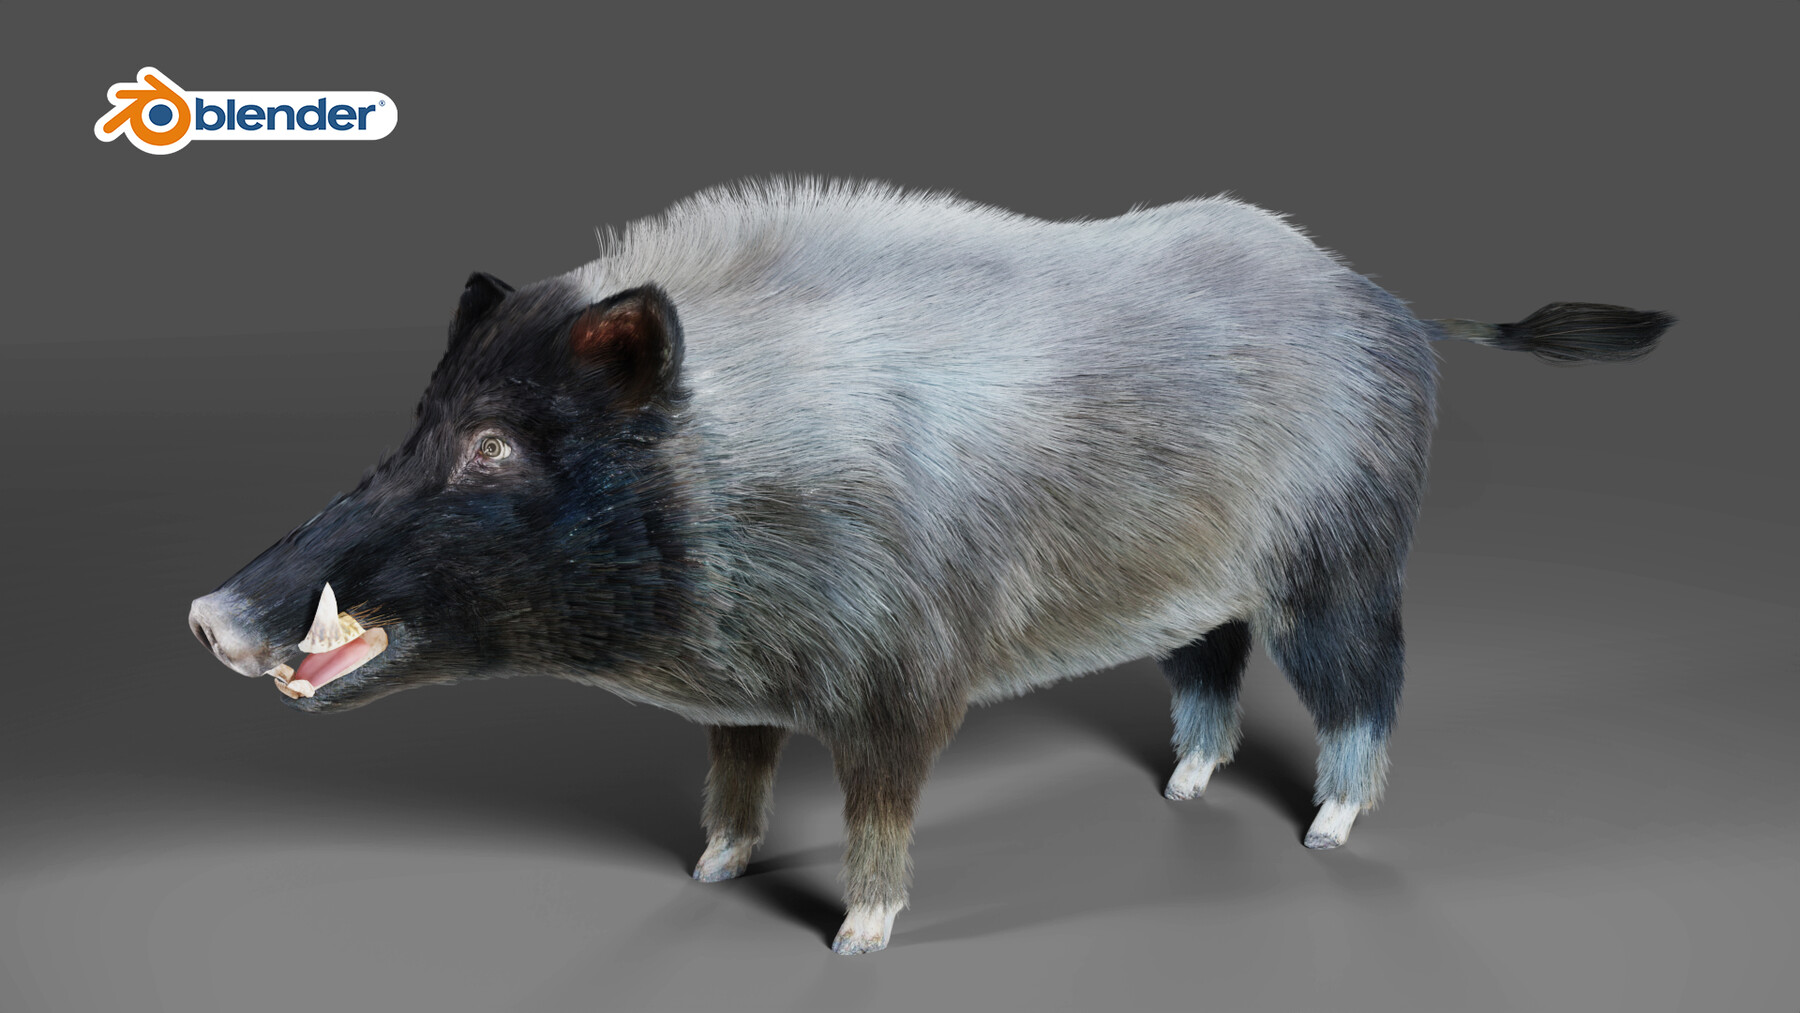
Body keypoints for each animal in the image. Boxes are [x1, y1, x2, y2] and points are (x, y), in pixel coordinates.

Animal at [189, 179, 1671, 953]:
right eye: (417, 423)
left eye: (495, 445)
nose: (208, 611)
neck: (738, 475)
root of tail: (1395, 306)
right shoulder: (748, 694)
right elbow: (734, 780)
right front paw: (712, 876)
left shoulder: (904, 676)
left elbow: (879, 811)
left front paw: (857, 939)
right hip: (1209, 586)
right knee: (1213, 665)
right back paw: (1184, 789)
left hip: (1346, 561)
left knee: (1372, 684)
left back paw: (1325, 830)